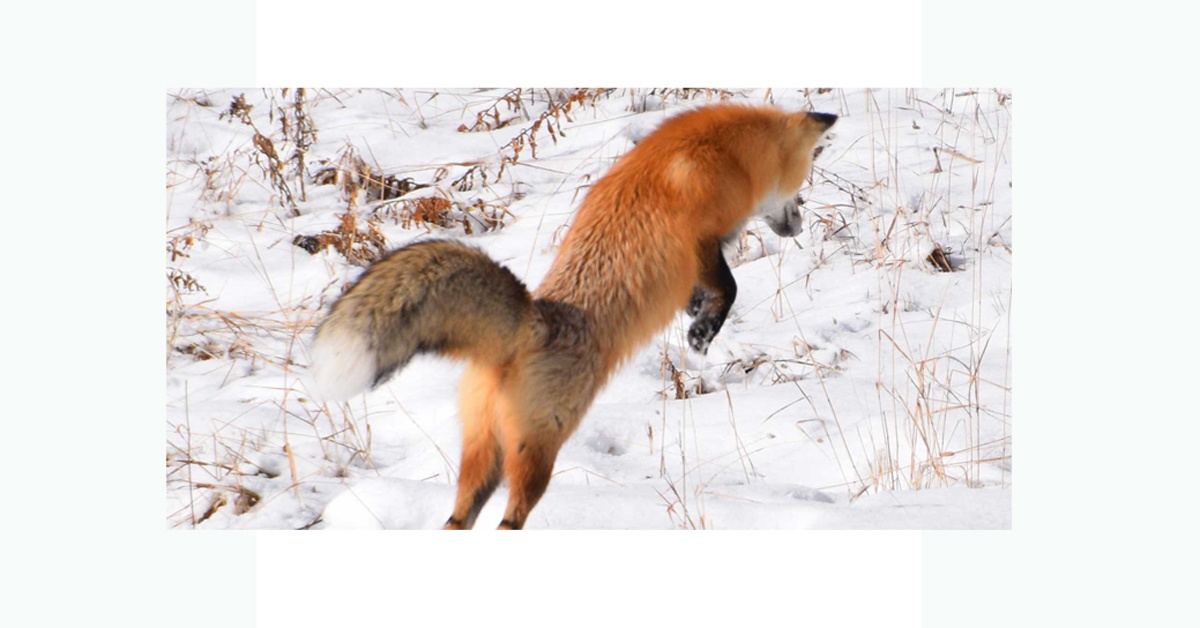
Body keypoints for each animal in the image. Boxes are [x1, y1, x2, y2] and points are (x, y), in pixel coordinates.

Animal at [310, 104, 837, 529]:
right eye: (804, 179)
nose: (800, 225)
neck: (724, 151)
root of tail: (532, 322)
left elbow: (705, 292)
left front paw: (694, 313)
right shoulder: (699, 242)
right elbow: (729, 288)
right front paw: (701, 334)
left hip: (484, 456)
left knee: (459, 519)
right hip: (537, 453)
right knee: (509, 521)